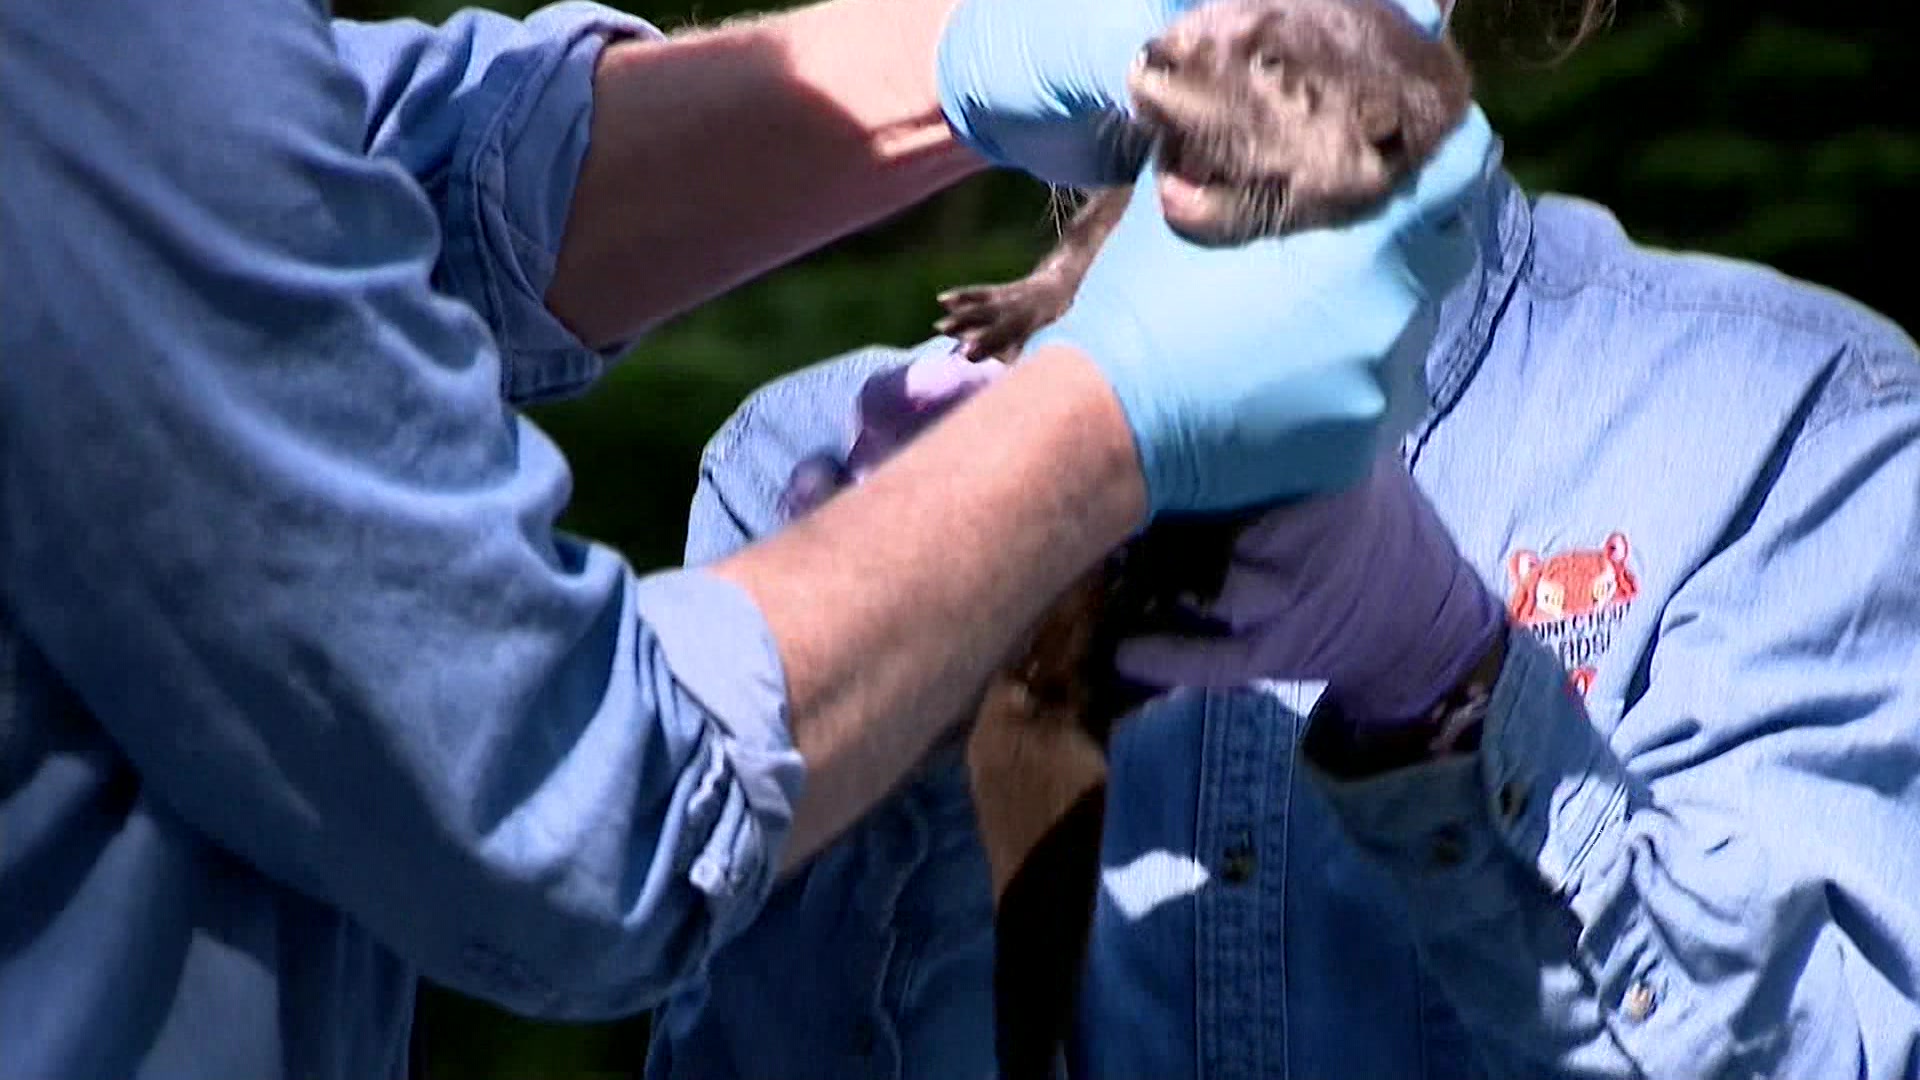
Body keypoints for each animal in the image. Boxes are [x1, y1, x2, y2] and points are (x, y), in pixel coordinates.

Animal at [932, 1, 1475, 1076]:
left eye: (1268, 62)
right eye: (1199, 16)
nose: (1158, 53)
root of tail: (1039, 690)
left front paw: (1191, 545)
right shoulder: (1111, 222)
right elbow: (1073, 262)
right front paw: (999, 313)